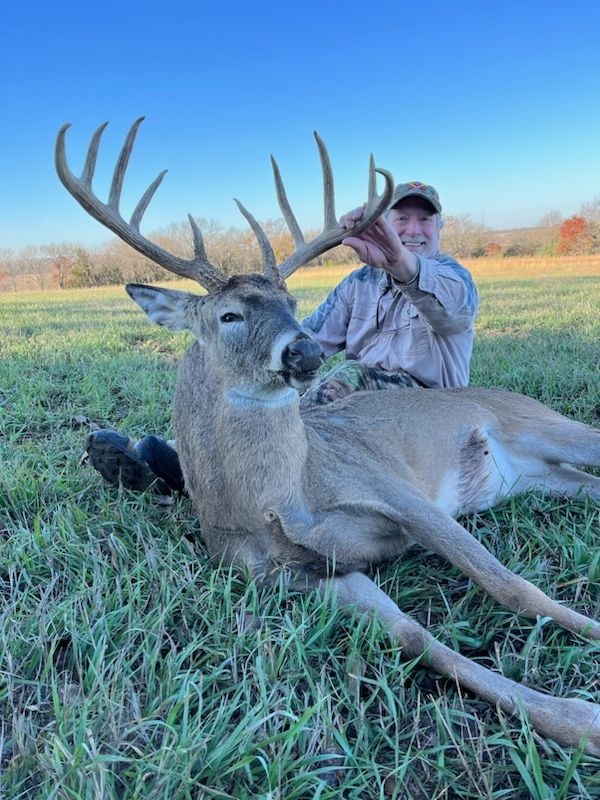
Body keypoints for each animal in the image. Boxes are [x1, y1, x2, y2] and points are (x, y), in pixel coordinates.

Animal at [55, 118, 600, 755]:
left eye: (292, 302)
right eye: (229, 316)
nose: (306, 349)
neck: (284, 500)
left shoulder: (399, 492)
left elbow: (513, 587)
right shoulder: (308, 576)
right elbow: (415, 637)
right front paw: (577, 720)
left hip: (543, 425)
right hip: (536, 477)